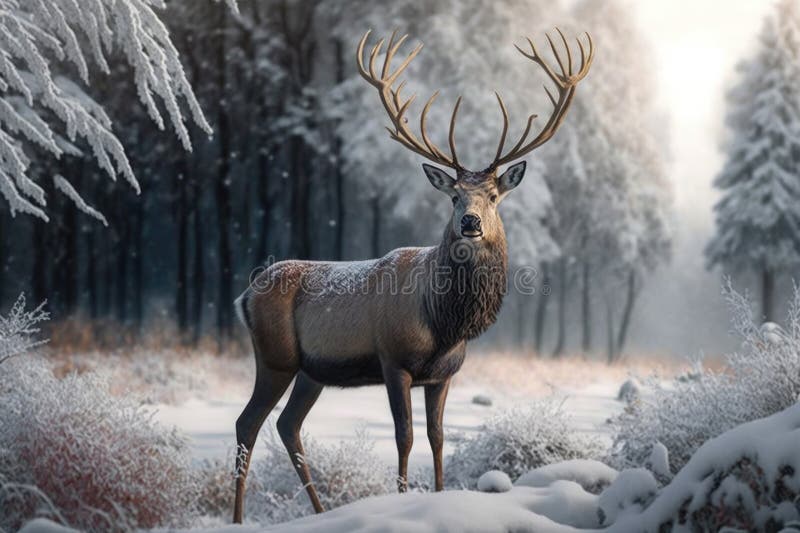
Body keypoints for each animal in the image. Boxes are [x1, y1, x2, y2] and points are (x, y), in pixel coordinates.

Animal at [232, 27, 593, 523]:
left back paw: (320, 511)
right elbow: (403, 437)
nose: (470, 223)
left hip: (311, 370)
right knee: (247, 422)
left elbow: (436, 439)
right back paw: (237, 517)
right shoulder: (393, 360)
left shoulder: (443, 374)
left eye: (494, 195)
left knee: (288, 425)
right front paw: (401, 502)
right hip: (275, 356)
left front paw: (440, 497)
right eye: (454, 196)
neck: (443, 321)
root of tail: (244, 296)